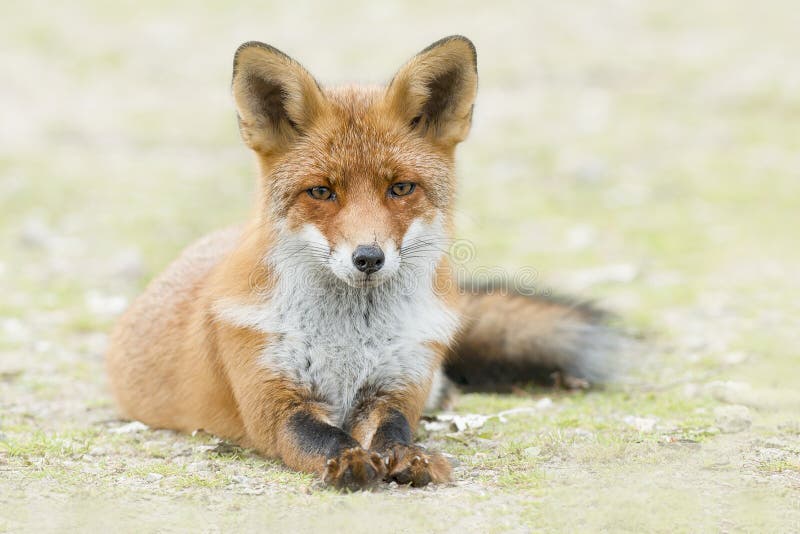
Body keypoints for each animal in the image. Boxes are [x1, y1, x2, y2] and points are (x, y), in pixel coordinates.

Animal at [107, 35, 622, 491]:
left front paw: (412, 458)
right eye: (321, 191)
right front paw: (351, 462)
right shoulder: (275, 405)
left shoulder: (395, 388)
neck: (351, 339)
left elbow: (394, 432)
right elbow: (325, 438)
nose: (368, 257)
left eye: (401, 188)